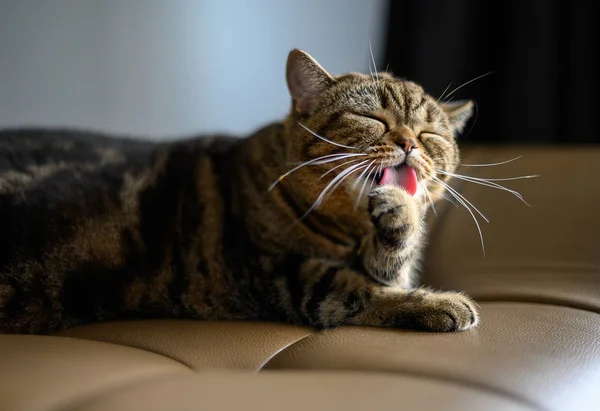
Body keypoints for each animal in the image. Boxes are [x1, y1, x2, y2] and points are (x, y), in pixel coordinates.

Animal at [0, 50, 478, 336]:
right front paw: (446, 304)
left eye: (430, 133)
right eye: (371, 118)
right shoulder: (284, 276)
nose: (409, 144)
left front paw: (402, 212)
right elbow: (361, 291)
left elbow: (390, 262)